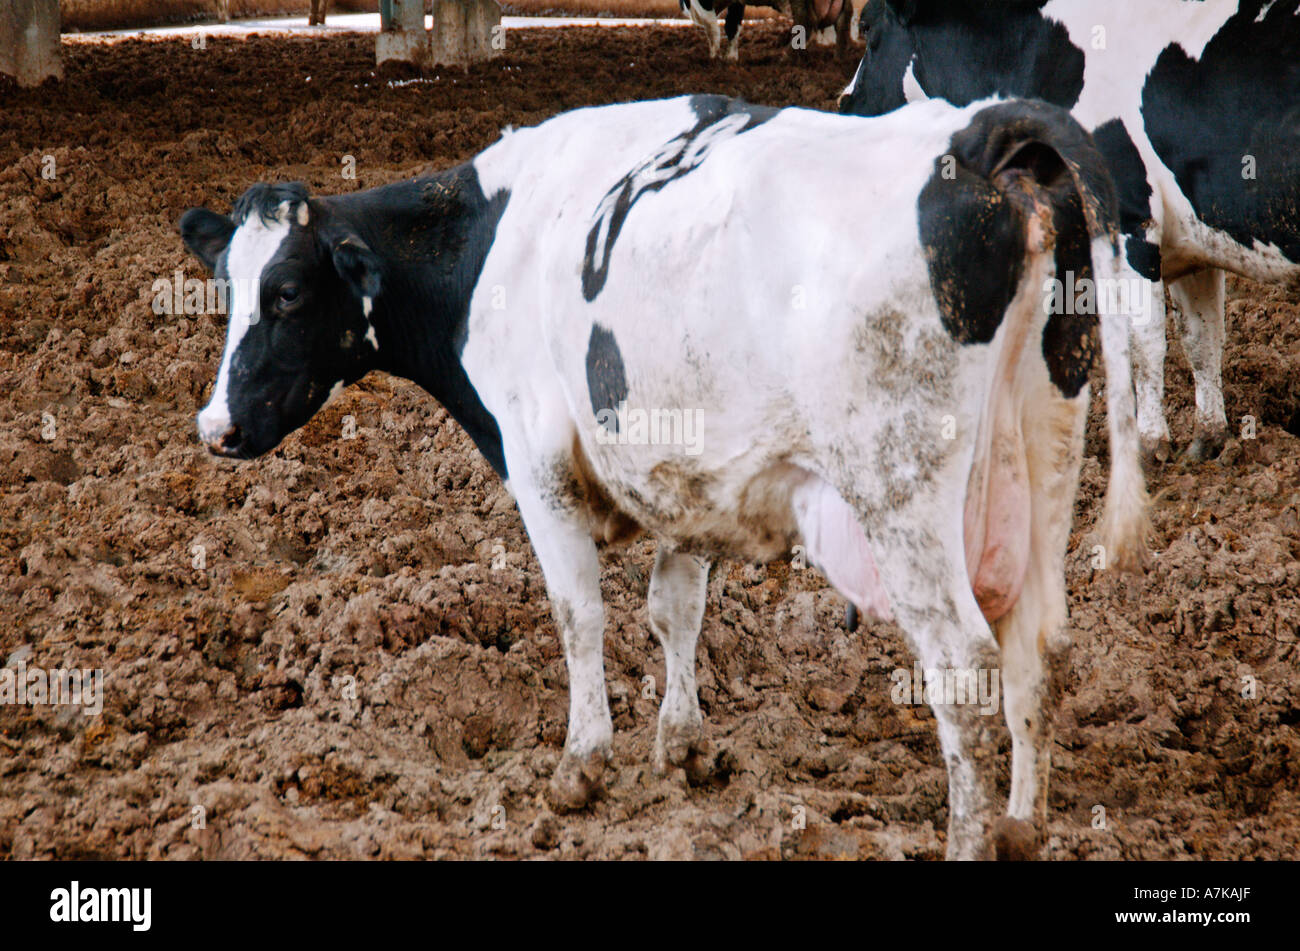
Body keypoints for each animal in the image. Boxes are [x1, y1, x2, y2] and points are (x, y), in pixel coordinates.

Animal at [179, 94, 1148, 859]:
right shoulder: (694, 474)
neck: (493, 238)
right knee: (1037, 649)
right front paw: (682, 745)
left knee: (965, 670)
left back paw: (971, 834)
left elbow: (579, 612)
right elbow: (675, 608)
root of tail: (977, 133)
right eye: (223, 287)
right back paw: (1022, 825)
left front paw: (582, 763)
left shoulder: (538, 459)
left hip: (899, 491)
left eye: (288, 293)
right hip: (1046, 451)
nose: (215, 427)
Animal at [681, 0, 855, 60]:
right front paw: (730, 59)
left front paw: (714, 58)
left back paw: (785, 57)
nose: (683, 8)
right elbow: (732, 24)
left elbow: (711, 26)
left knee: (806, 22)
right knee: (844, 20)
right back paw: (838, 59)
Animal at [839, 0, 1300, 465]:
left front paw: (1148, 445)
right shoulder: (1192, 244)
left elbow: (1145, 342)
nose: (844, 104)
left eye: (867, 27)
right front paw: (1208, 439)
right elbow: (1202, 338)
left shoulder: (1131, 223)